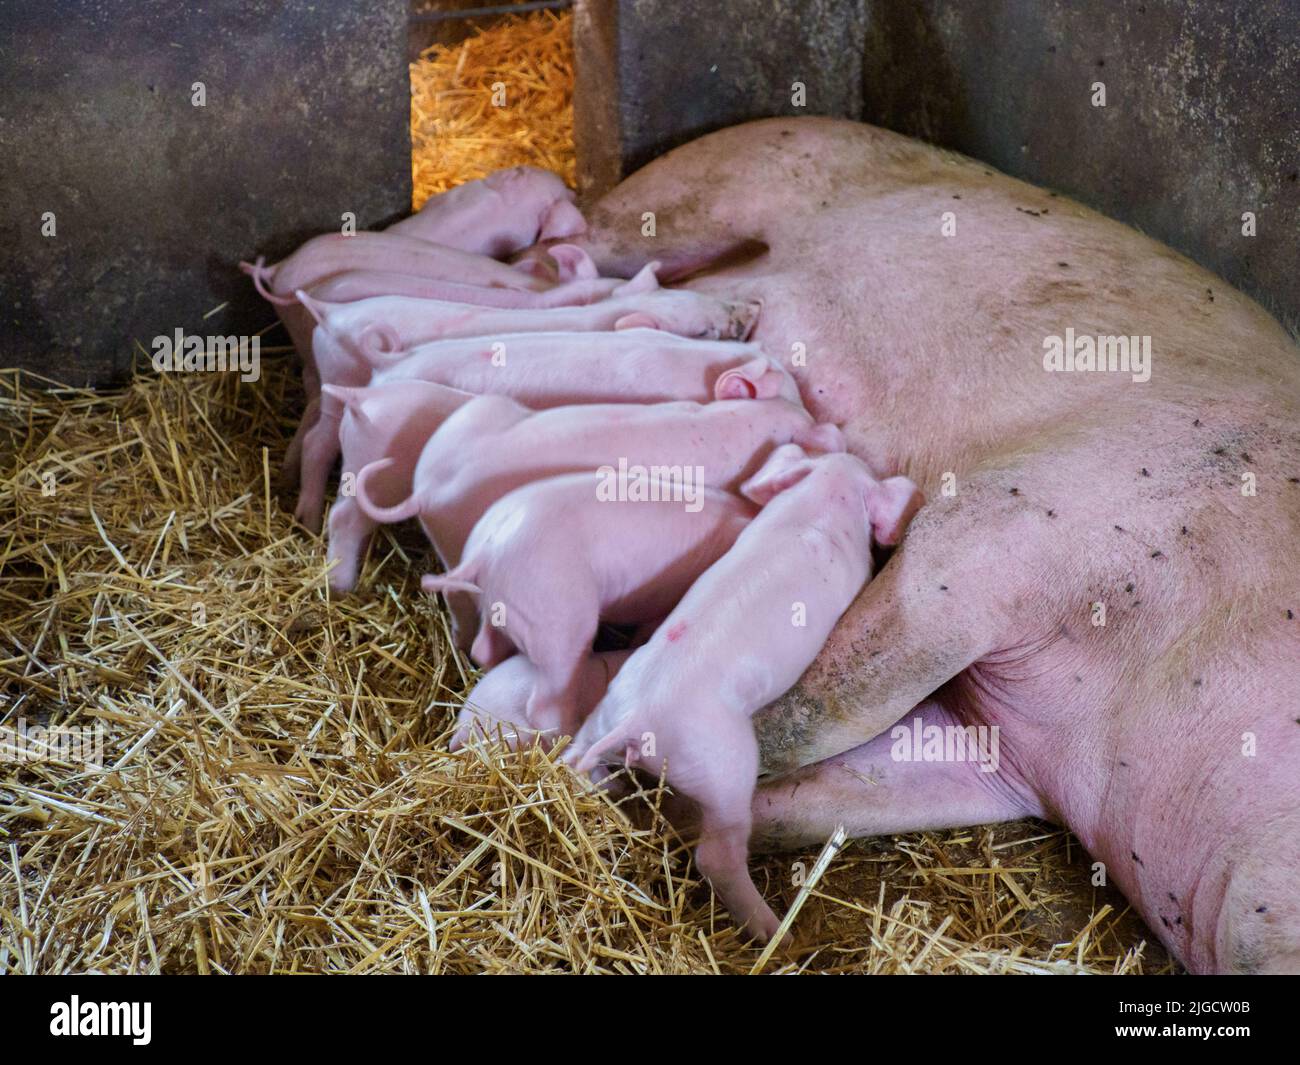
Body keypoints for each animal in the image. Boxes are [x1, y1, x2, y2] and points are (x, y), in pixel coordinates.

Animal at [320, 380, 474, 594]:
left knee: (337, 512)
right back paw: (341, 586)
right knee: (342, 518)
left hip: (353, 472)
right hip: (381, 484)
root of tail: (363, 396)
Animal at [566, 445, 923, 942]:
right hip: (725, 770)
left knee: (574, 759)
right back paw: (780, 936)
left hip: (600, 715)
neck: (818, 499)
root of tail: (638, 718)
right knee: (716, 856)